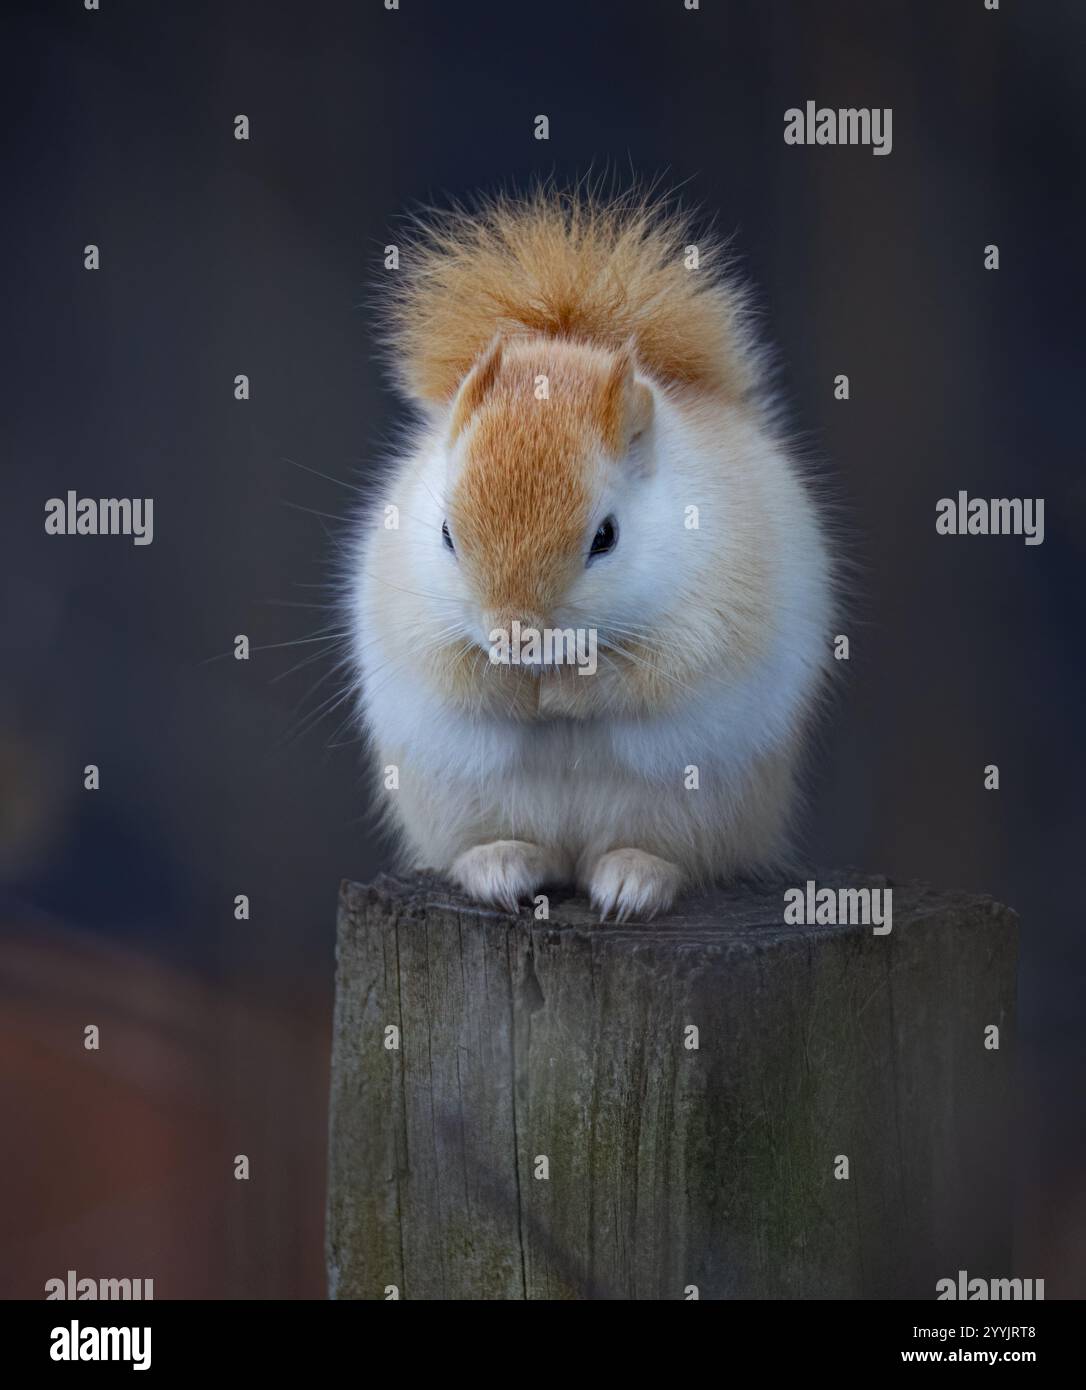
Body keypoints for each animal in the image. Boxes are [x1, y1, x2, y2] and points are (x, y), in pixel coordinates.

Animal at [348, 185, 836, 921]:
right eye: (446, 534)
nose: (514, 637)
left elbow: (647, 677)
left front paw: (566, 693)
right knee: (519, 850)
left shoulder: (712, 614)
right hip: (462, 800)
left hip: (694, 808)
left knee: (662, 854)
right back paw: (500, 866)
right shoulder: (407, 614)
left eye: (605, 536)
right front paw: (512, 688)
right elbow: (453, 670)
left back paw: (633, 880)